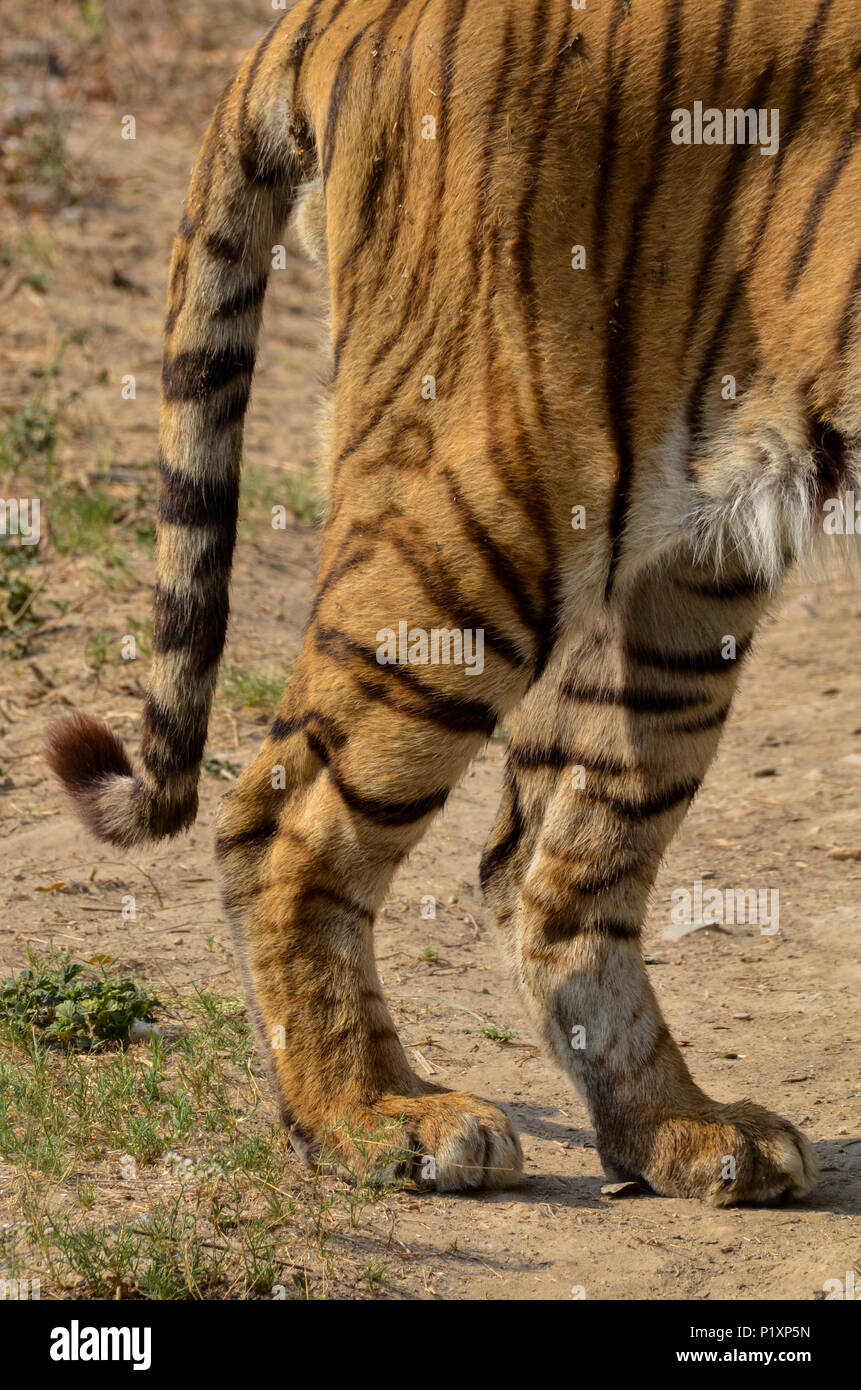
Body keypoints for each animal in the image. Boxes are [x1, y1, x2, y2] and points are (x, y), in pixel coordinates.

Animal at [46, 0, 861, 1206]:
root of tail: (345, 9)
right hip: (481, 506)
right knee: (285, 819)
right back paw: (374, 1118)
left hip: (684, 593)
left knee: (550, 860)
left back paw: (682, 1128)